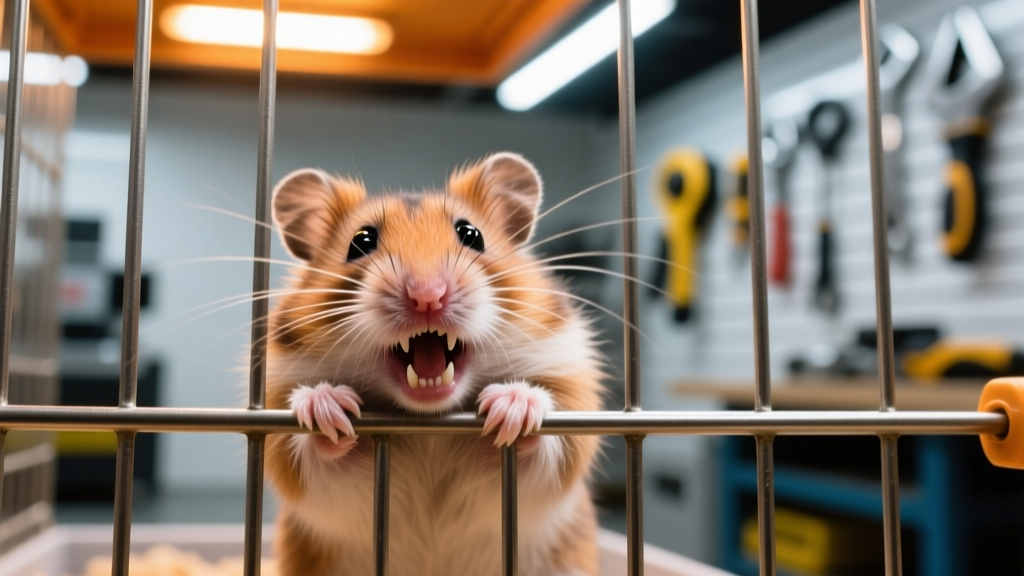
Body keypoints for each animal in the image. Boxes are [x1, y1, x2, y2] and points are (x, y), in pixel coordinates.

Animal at [264, 152, 606, 576]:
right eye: (360, 242)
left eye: (472, 235)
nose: (427, 296)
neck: (429, 421)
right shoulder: (297, 460)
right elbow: (312, 458)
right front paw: (328, 407)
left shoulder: (568, 413)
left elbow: (547, 450)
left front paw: (511, 407)